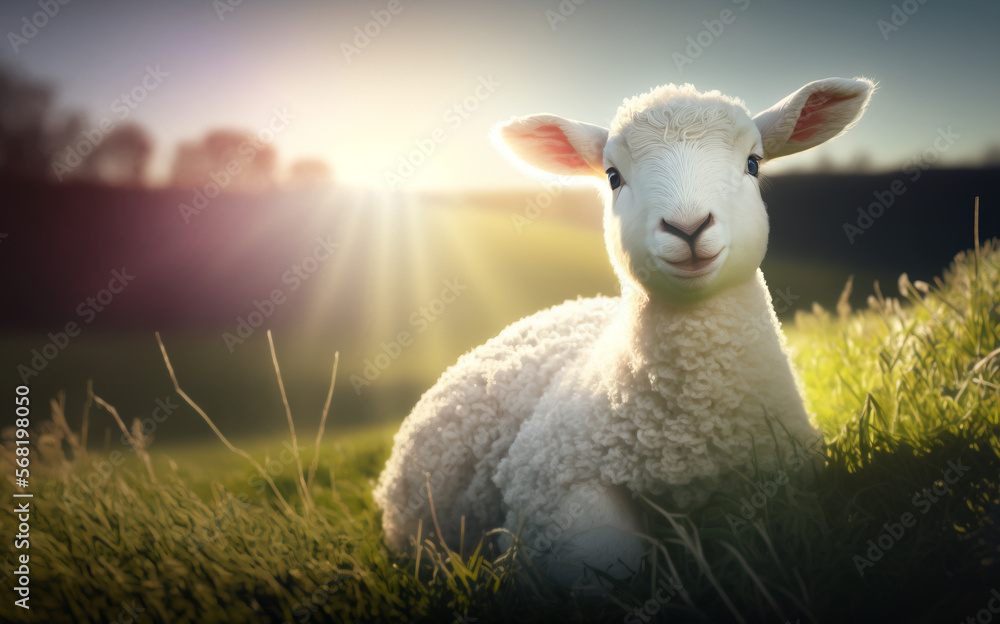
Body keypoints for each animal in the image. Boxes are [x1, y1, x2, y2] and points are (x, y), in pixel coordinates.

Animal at [374, 76, 874, 587]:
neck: (688, 432)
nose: (688, 226)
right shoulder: (552, 485)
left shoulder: (778, 478)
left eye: (753, 163)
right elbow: (604, 557)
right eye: (613, 176)